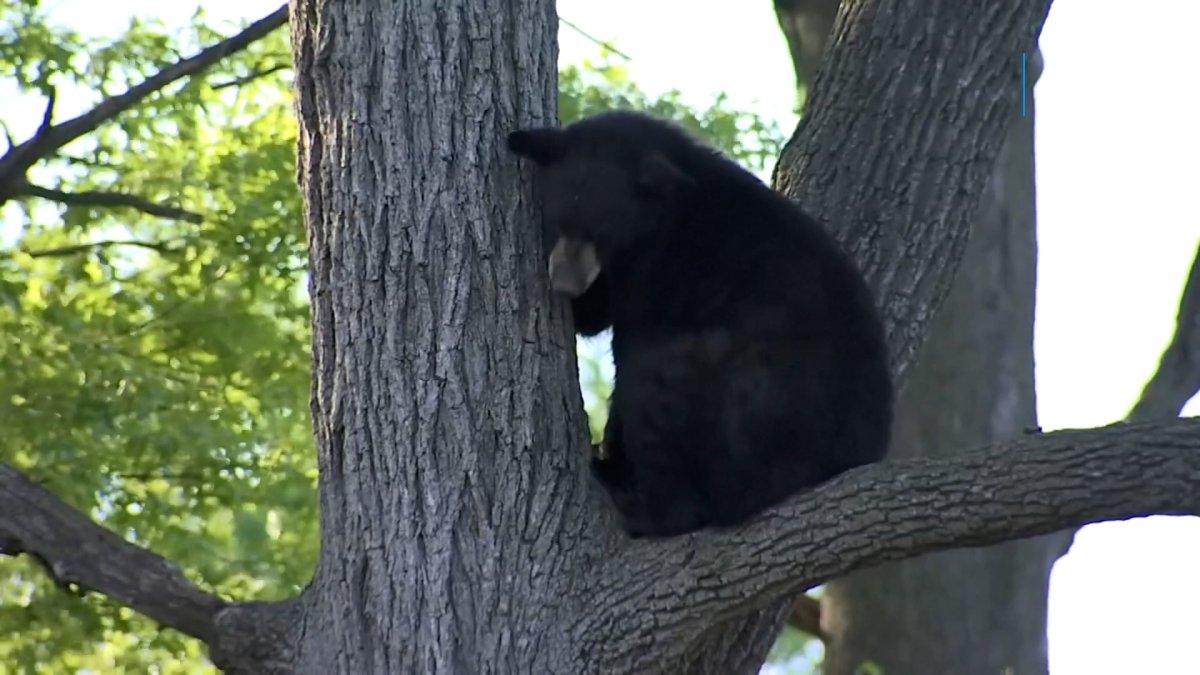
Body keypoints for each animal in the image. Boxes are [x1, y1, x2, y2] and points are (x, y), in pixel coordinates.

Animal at [508, 110, 894, 538]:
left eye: (603, 233)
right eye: (556, 221)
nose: (564, 284)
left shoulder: (654, 267)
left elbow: (606, 321)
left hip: (735, 403)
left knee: (653, 394)